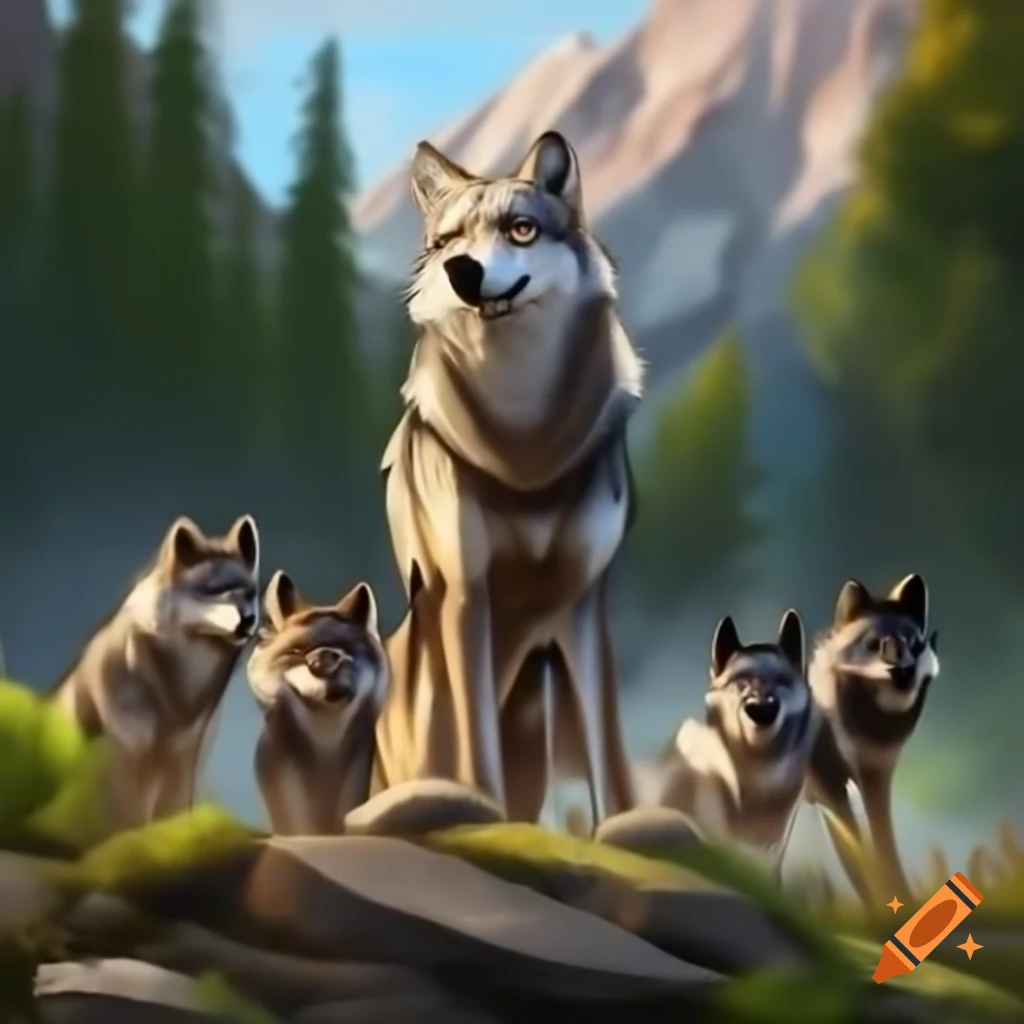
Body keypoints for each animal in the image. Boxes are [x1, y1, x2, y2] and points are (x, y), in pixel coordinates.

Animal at [51, 514, 260, 826]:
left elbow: (173, 814)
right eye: (213, 591)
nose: (249, 619)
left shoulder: (182, 759)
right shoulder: (126, 758)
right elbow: (125, 820)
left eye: (249, 593)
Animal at [373, 129, 644, 826]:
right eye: (449, 241)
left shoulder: (585, 602)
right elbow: (474, 739)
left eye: (521, 229)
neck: (525, 448)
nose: (462, 271)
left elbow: (610, 747)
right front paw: (480, 810)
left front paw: (630, 824)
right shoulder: (464, 592)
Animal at [806, 573, 939, 898]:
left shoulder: (877, 773)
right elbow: (861, 857)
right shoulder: (833, 791)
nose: (903, 671)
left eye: (914, 643)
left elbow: (884, 851)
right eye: (874, 644)